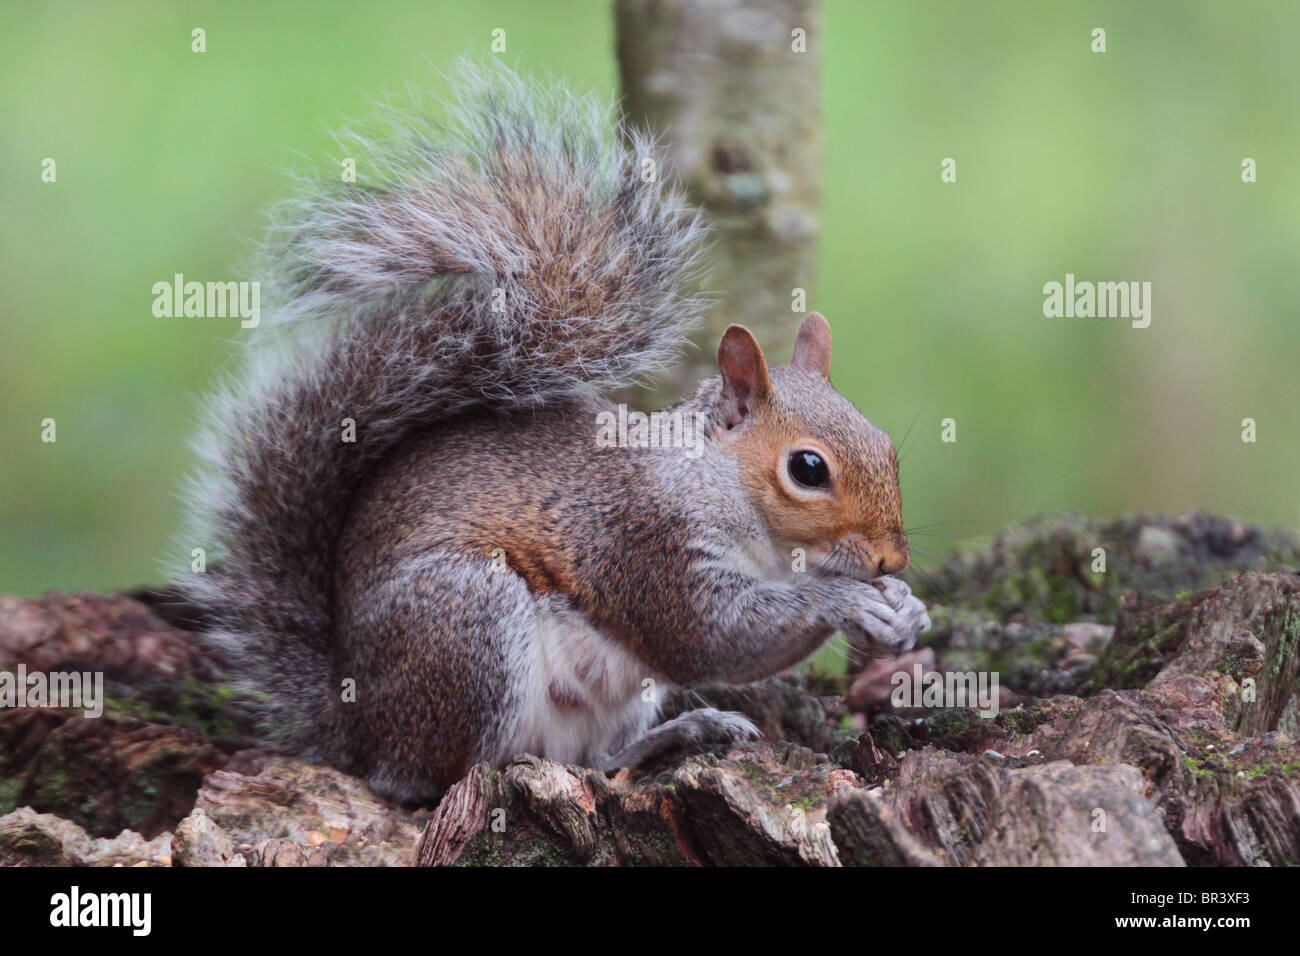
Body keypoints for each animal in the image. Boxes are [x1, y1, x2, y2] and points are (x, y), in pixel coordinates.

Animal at [177, 61, 930, 803]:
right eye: (807, 469)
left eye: (889, 448)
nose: (892, 560)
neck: (712, 482)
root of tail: (356, 727)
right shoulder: (645, 543)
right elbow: (711, 638)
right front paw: (844, 600)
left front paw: (909, 611)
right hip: (467, 622)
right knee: (436, 777)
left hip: (606, 697)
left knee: (597, 758)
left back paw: (684, 731)